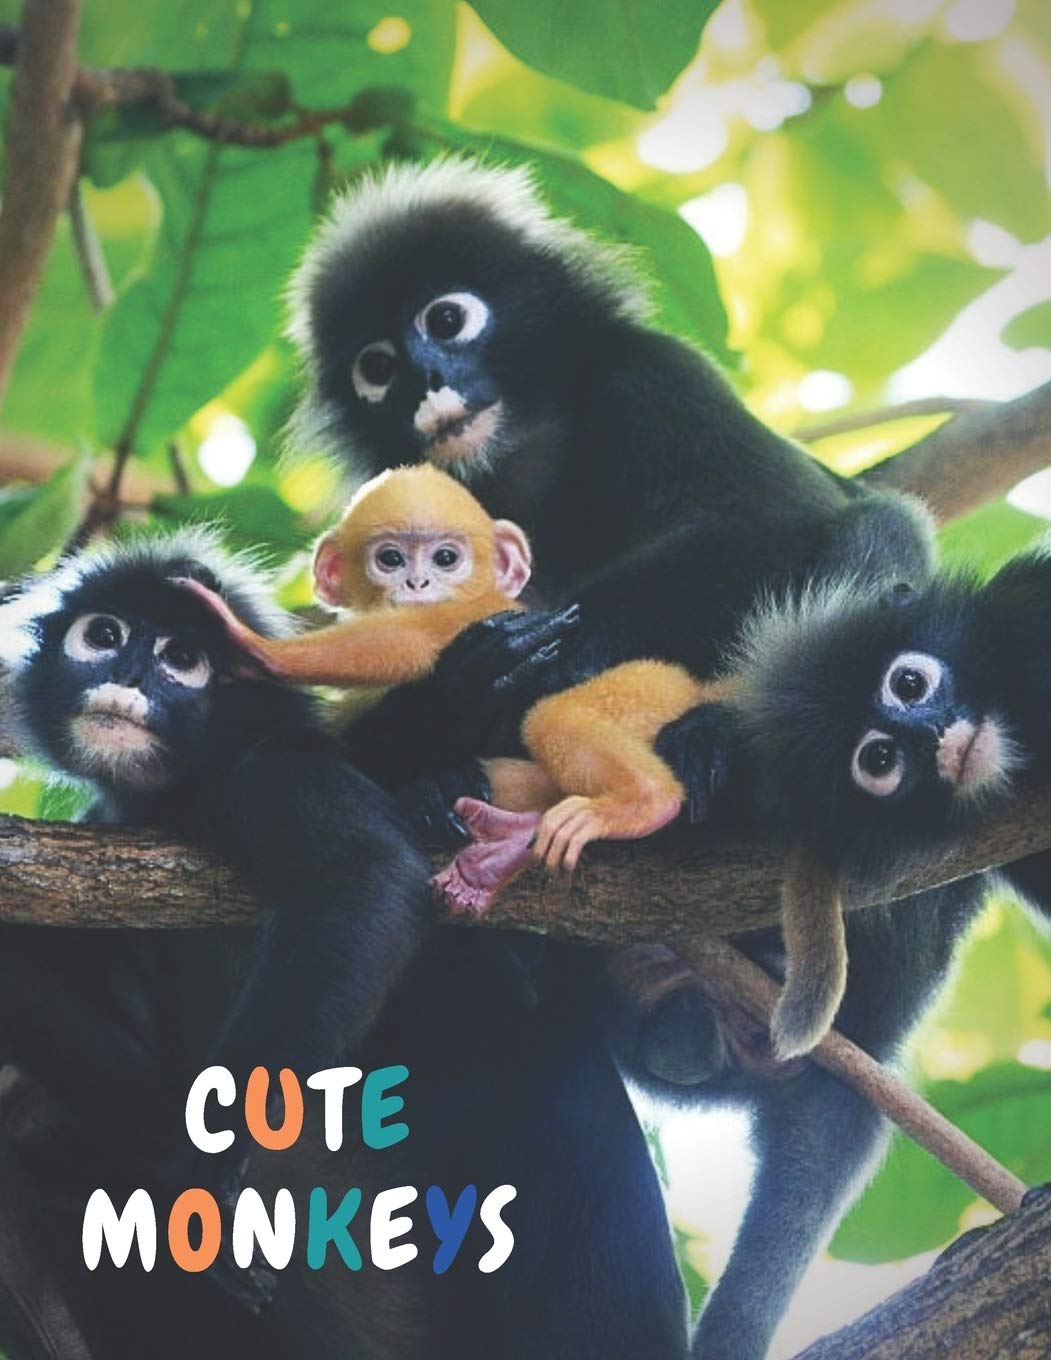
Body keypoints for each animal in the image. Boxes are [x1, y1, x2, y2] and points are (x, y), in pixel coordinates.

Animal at [0, 530, 689, 1360]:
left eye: (181, 658)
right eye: (104, 635)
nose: (129, 676)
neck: (177, 797)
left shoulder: (266, 767)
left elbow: (365, 876)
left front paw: (205, 1170)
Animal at [281, 153, 961, 1358]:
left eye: (445, 318)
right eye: (373, 365)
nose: (421, 381)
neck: (528, 451)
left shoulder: (655, 378)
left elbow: (765, 524)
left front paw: (537, 654)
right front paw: (449, 706)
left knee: (869, 535)